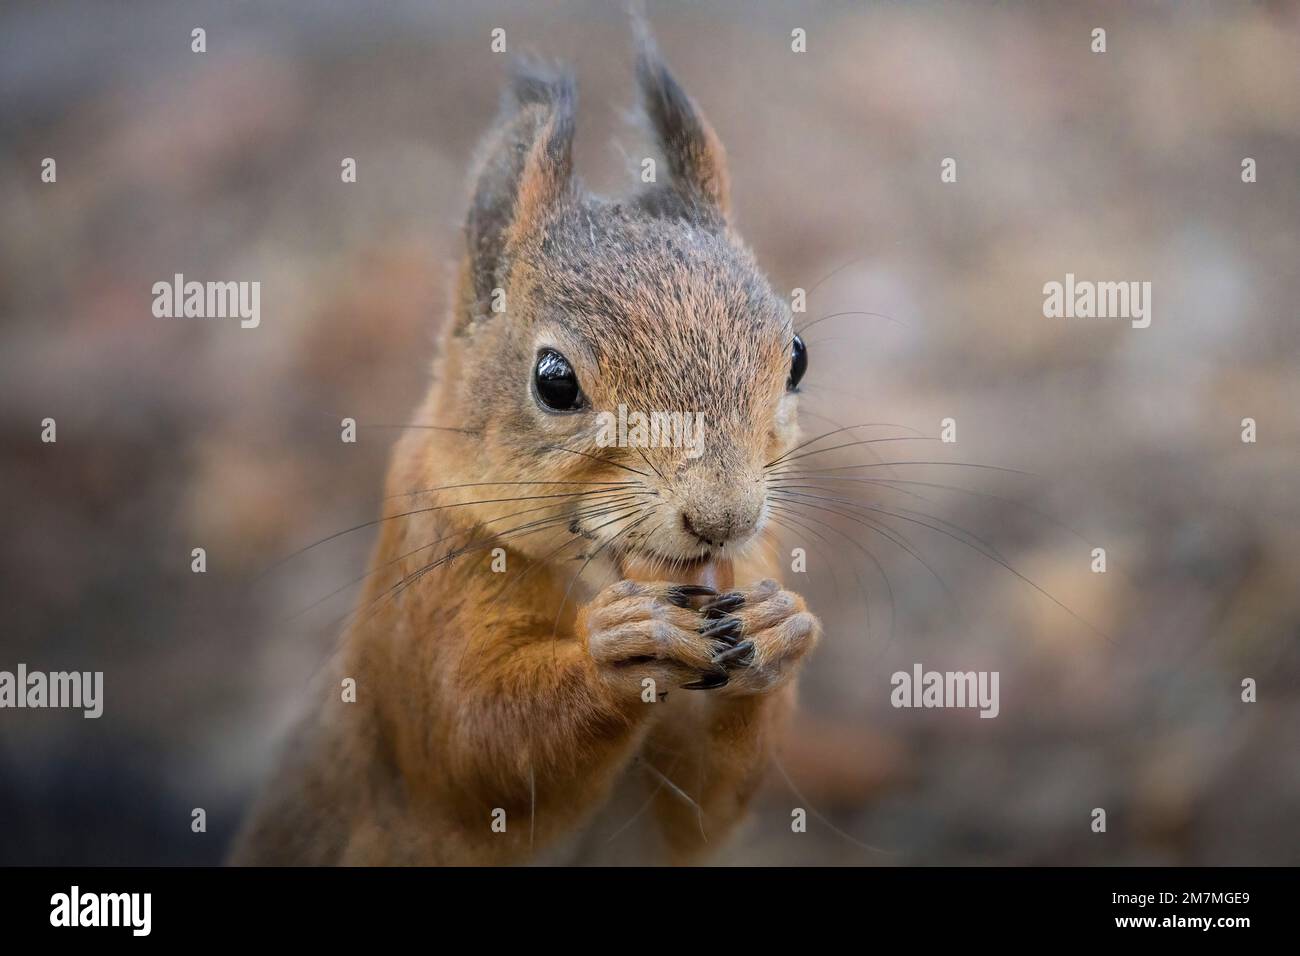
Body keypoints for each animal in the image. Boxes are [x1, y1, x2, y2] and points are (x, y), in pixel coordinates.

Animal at [231, 26, 821, 866]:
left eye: (796, 355)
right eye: (555, 381)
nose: (724, 519)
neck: (598, 574)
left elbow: (708, 797)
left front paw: (779, 628)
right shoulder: (427, 590)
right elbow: (474, 743)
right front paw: (622, 647)